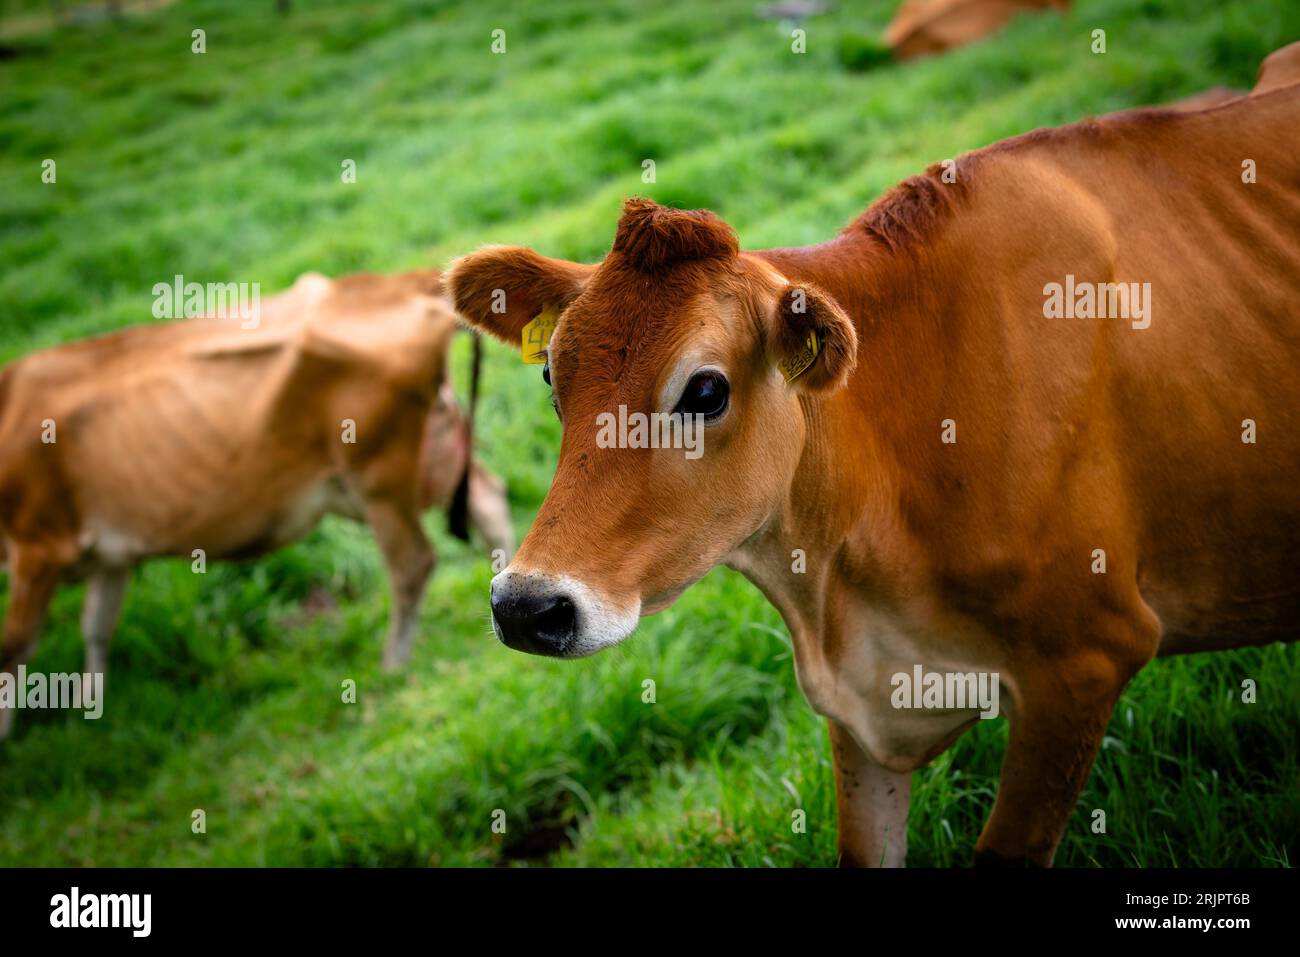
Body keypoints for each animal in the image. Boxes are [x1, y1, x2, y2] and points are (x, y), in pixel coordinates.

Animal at [0, 269, 514, 740]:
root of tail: (406, 281)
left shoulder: (40, 544)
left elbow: (14, 647)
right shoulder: (112, 555)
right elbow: (96, 625)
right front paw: (91, 709)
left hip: (379, 479)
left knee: (412, 563)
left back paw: (393, 666)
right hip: (415, 456)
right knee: (489, 499)